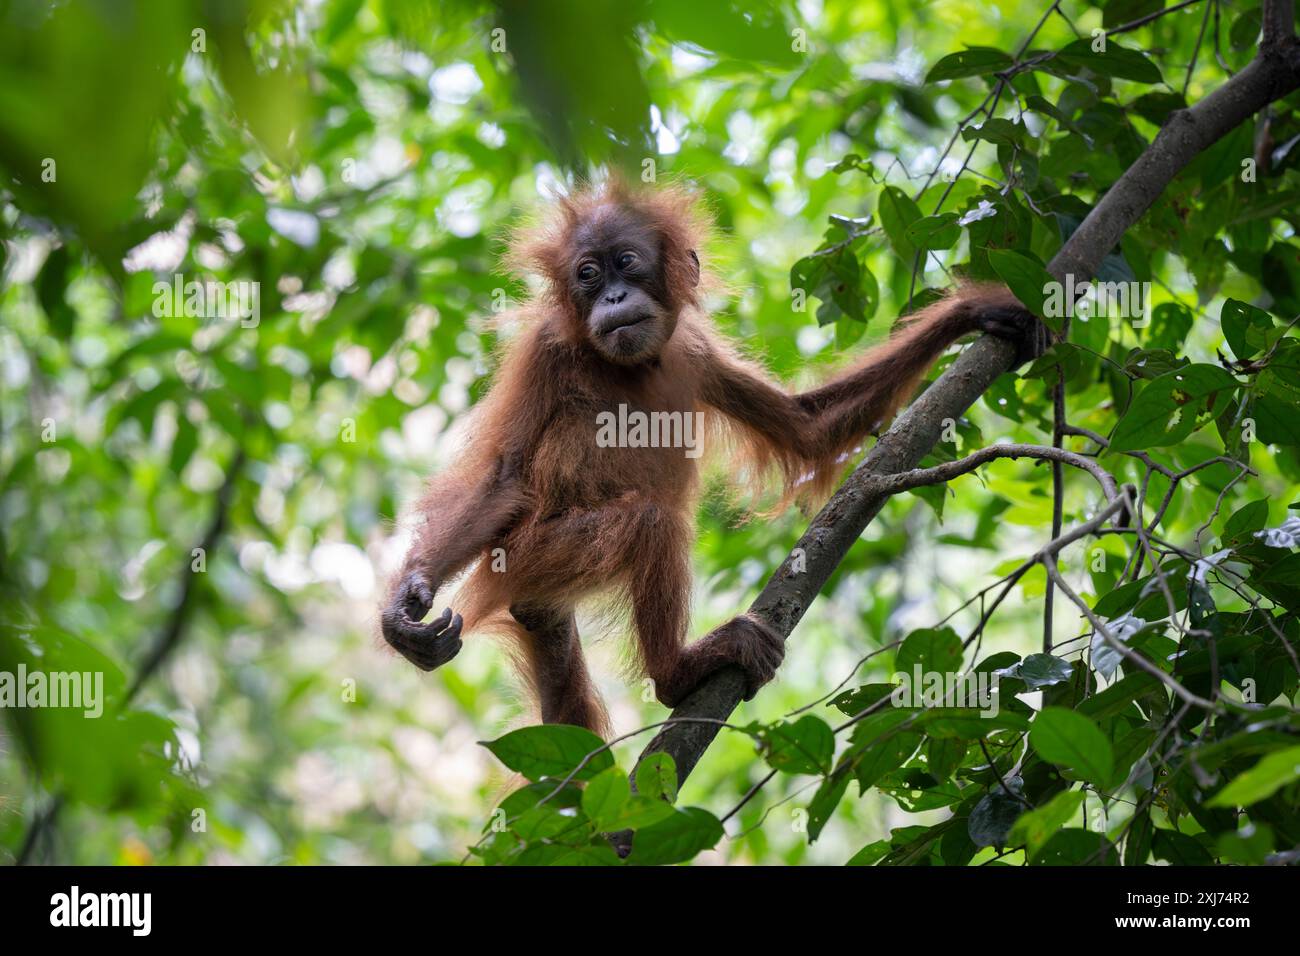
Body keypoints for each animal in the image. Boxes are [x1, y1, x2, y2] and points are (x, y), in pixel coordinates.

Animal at [380, 177, 1039, 737]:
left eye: (626, 262)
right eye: (586, 275)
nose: (613, 294)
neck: (632, 365)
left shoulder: (694, 351)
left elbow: (804, 427)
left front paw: (974, 312)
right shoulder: (545, 349)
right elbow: (505, 477)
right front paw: (405, 604)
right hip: (524, 553)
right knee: (651, 520)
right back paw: (678, 674)